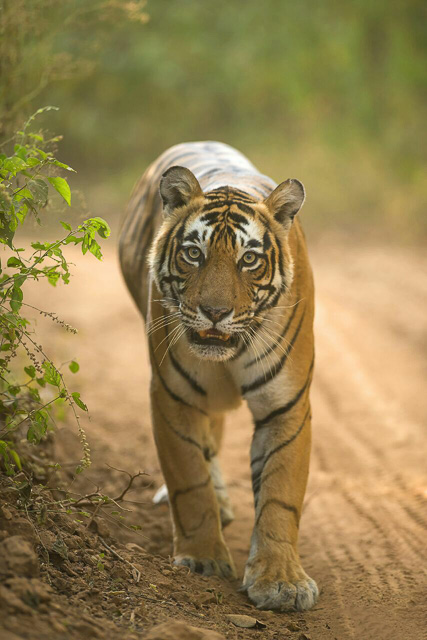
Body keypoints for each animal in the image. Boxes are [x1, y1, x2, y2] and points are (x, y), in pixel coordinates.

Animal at [119, 141, 317, 612]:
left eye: (249, 260)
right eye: (195, 253)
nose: (214, 312)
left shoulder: (286, 406)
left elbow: (280, 495)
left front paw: (282, 582)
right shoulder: (173, 396)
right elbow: (190, 480)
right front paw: (202, 558)